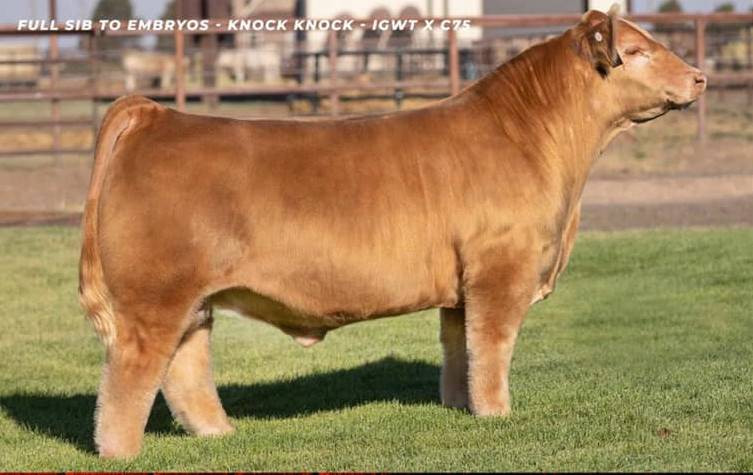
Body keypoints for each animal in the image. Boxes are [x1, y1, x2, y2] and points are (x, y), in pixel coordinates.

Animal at [80, 7, 706, 458]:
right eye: (637, 51)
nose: (700, 77)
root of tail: (158, 114)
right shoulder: (502, 268)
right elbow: (493, 345)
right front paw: (498, 415)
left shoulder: (462, 284)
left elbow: (459, 348)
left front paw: (460, 408)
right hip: (155, 296)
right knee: (132, 373)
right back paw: (121, 453)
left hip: (191, 299)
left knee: (185, 366)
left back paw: (219, 434)